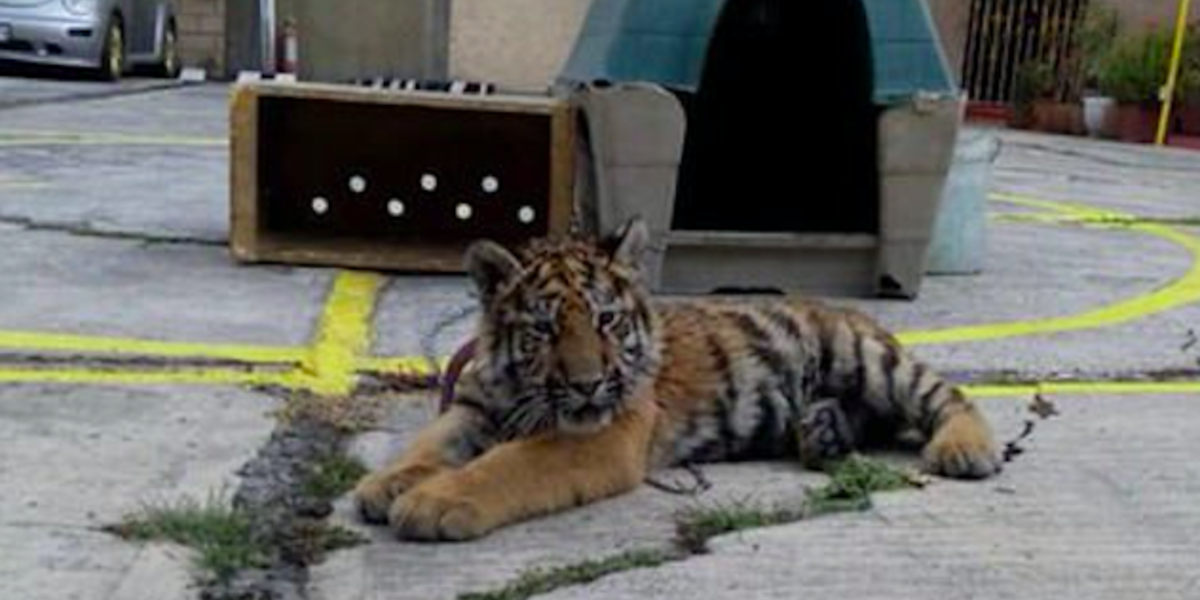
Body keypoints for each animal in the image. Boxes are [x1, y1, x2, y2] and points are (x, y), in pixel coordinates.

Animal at [355, 219, 1001, 541]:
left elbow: (505, 465)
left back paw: (964, 450)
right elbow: (431, 443)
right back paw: (821, 433)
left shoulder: (600, 434)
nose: (588, 384)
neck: (524, 388)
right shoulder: (472, 408)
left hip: (864, 356)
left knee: (946, 396)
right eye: (544, 328)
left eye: (606, 320)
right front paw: (387, 483)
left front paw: (434, 502)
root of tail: (852, 309)